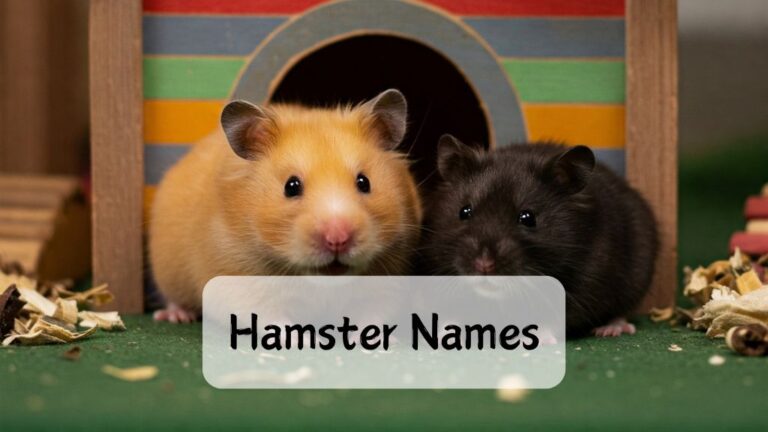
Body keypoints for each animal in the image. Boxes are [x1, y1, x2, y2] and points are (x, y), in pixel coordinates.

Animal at [149, 89, 422, 322]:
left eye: (364, 182)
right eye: (291, 186)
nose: (338, 239)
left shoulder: (389, 275)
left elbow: (375, 312)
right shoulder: (234, 278)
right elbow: (265, 315)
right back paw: (175, 316)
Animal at [419, 135, 658, 337]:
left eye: (528, 218)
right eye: (464, 212)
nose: (484, 265)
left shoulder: (583, 285)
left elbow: (556, 316)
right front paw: (444, 329)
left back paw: (611, 329)